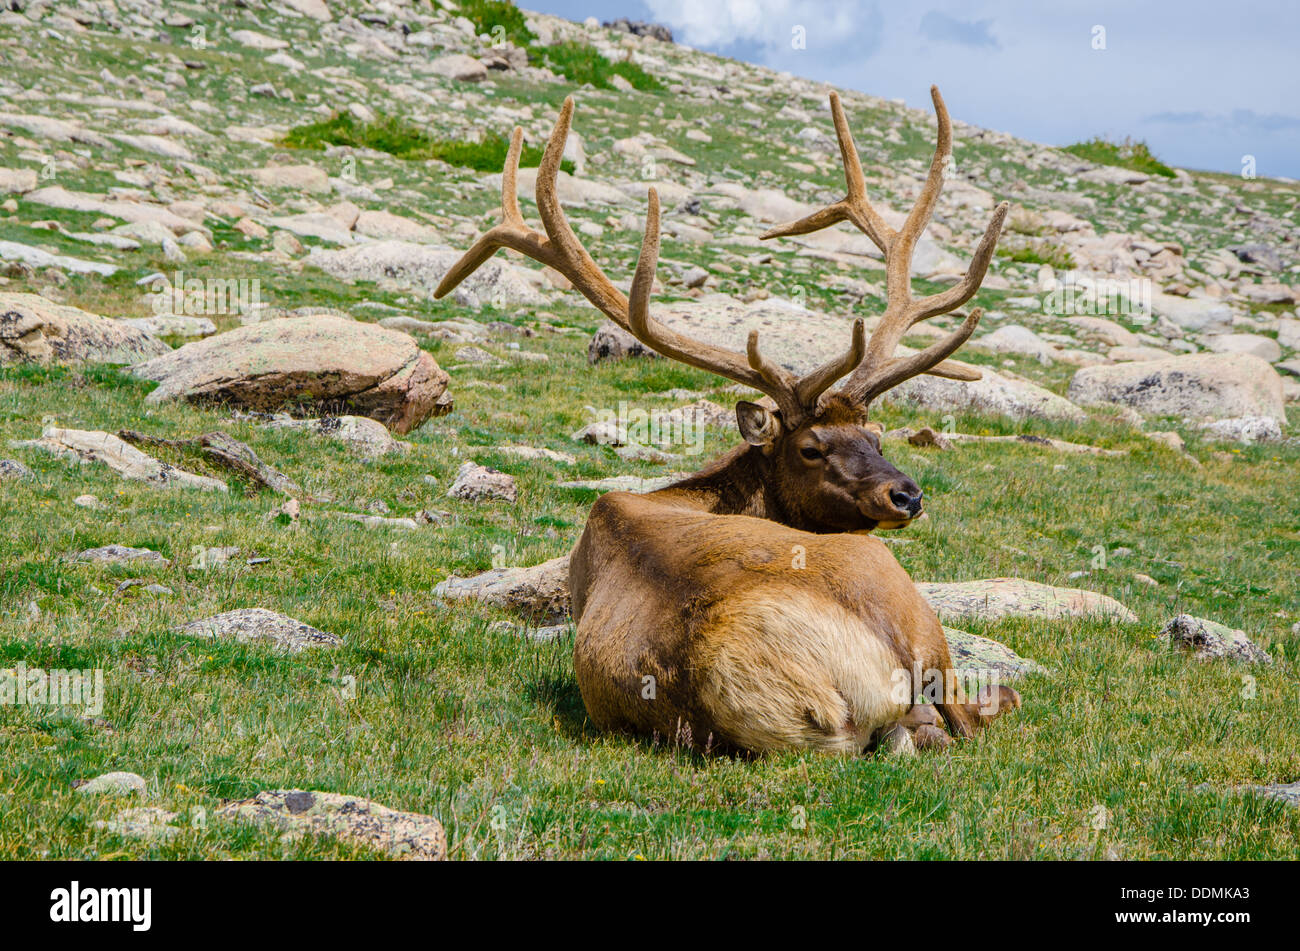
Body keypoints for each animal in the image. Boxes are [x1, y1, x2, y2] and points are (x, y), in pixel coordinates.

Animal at [435, 87, 1018, 754]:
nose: (906, 495)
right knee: (957, 718)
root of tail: (824, 692)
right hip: (902, 598)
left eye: (874, 434)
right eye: (811, 447)